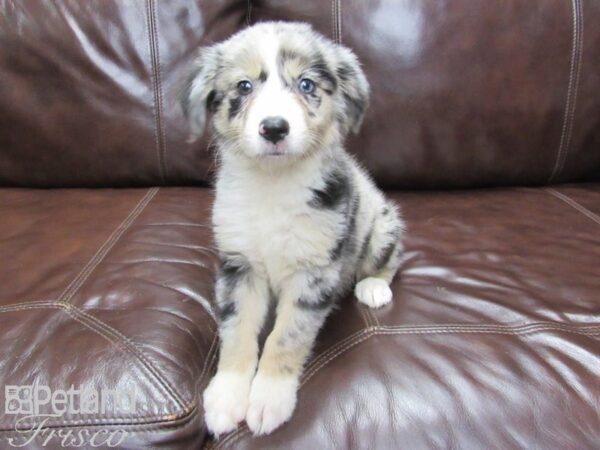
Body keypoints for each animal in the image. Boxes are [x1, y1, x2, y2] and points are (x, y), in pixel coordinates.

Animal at [180, 21, 406, 436]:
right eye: (244, 86)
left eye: (306, 84)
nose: (274, 128)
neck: (273, 184)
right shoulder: (239, 265)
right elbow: (236, 331)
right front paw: (227, 395)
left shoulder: (313, 272)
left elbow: (286, 336)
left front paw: (269, 398)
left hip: (381, 222)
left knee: (392, 256)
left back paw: (374, 287)